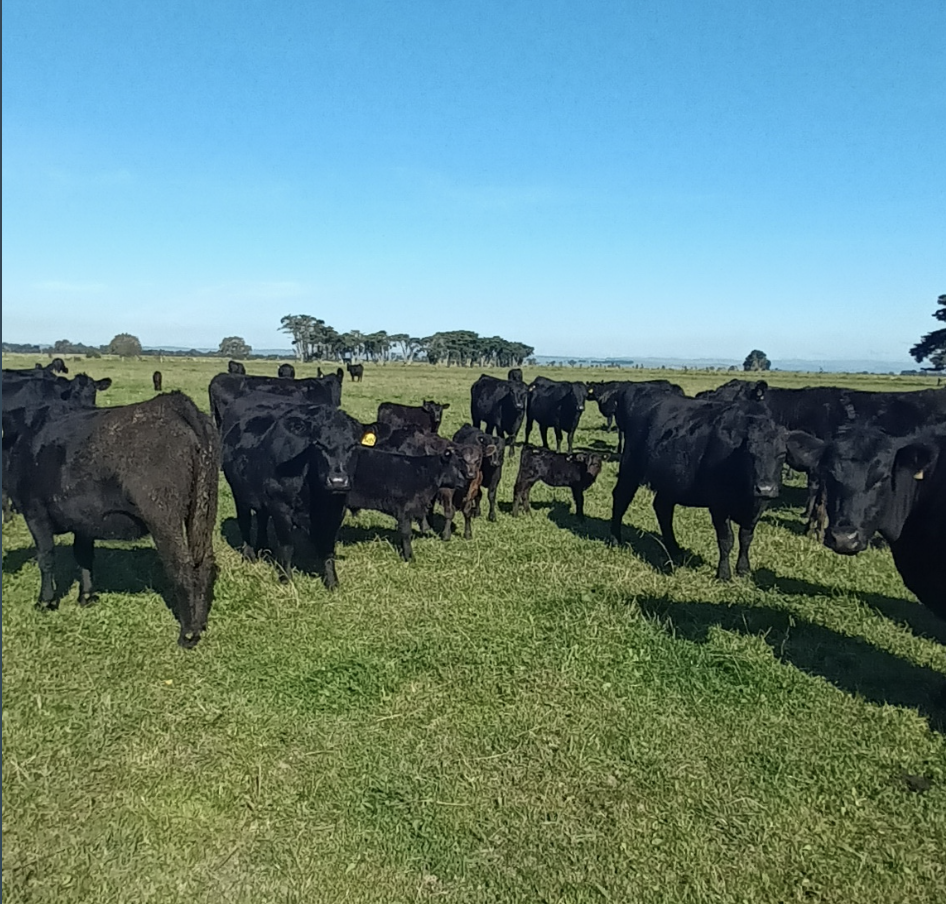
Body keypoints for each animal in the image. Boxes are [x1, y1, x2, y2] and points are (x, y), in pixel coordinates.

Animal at [3, 392, 219, 647]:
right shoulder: (84, 520)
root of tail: (171, 402)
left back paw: (188, 633)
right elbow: (83, 556)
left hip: (162, 515)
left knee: (181, 564)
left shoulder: (35, 513)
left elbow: (46, 559)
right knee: (204, 562)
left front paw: (45, 601)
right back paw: (200, 623)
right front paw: (87, 596)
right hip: (204, 510)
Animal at [220, 393, 369, 587]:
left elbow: (328, 548)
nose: (337, 481)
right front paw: (286, 580)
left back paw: (264, 547)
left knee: (261, 517)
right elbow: (287, 546)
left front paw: (332, 582)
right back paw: (249, 556)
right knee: (244, 521)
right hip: (239, 492)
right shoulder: (281, 506)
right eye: (318, 444)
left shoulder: (337, 510)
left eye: (353, 445)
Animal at [610, 392, 800, 580]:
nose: (765, 488)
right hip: (630, 468)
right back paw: (615, 538)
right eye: (750, 453)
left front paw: (744, 570)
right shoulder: (718, 506)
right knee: (621, 498)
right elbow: (727, 539)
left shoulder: (758, 508)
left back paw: (674, 549)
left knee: (662, 509)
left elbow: (746, 538)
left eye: (782, 454)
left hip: (670, 483)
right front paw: (724, 574)